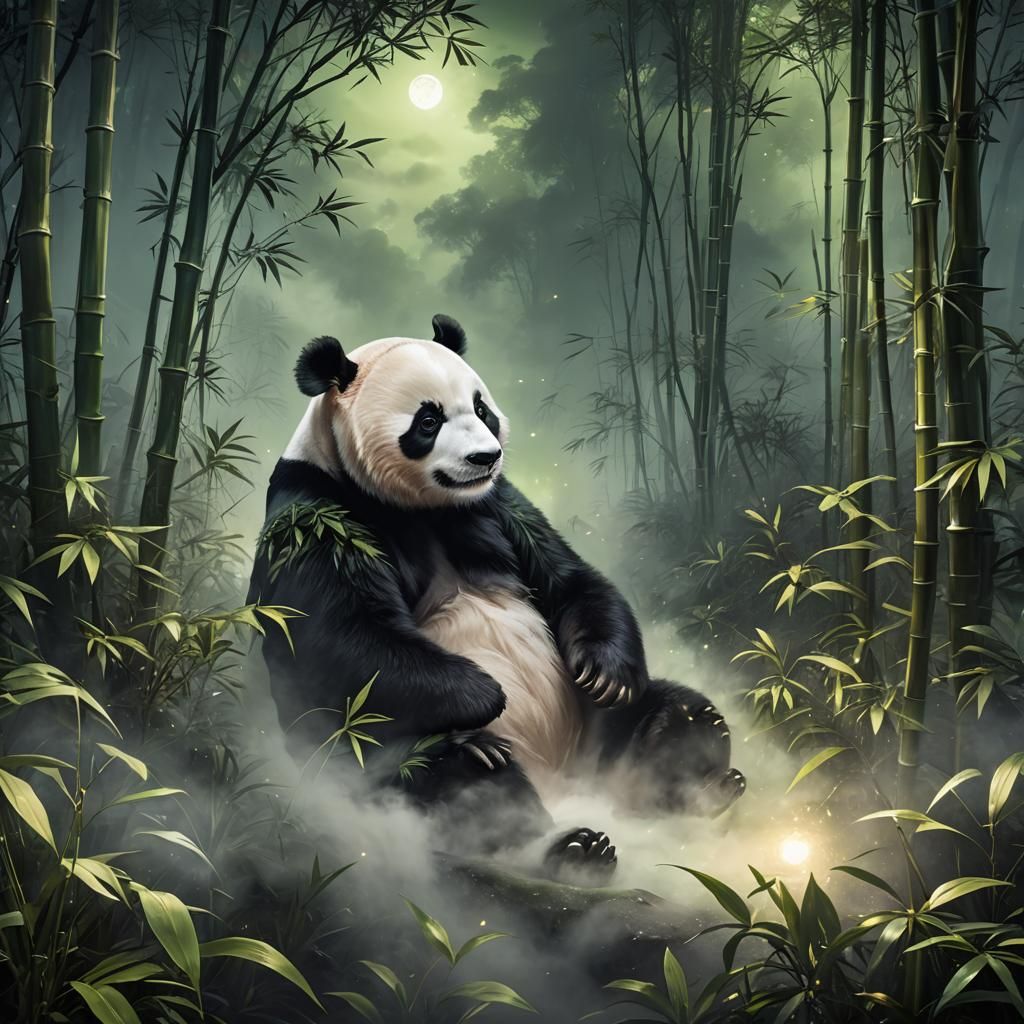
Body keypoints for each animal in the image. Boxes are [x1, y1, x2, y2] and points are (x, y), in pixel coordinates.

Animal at [248, 314, 745, 880]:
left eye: (480, 408)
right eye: (428, 421)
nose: (485, 456)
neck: (419, 507)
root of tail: (567, 784)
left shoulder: (497, 504)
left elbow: (571, 579)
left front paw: (607, 673)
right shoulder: (316, 517)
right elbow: (342, 637)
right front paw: (488, 694)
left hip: (595, 731)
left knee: (677, 713)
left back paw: (701, 783)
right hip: (352, 757)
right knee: (446, 774)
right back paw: (565, 845)